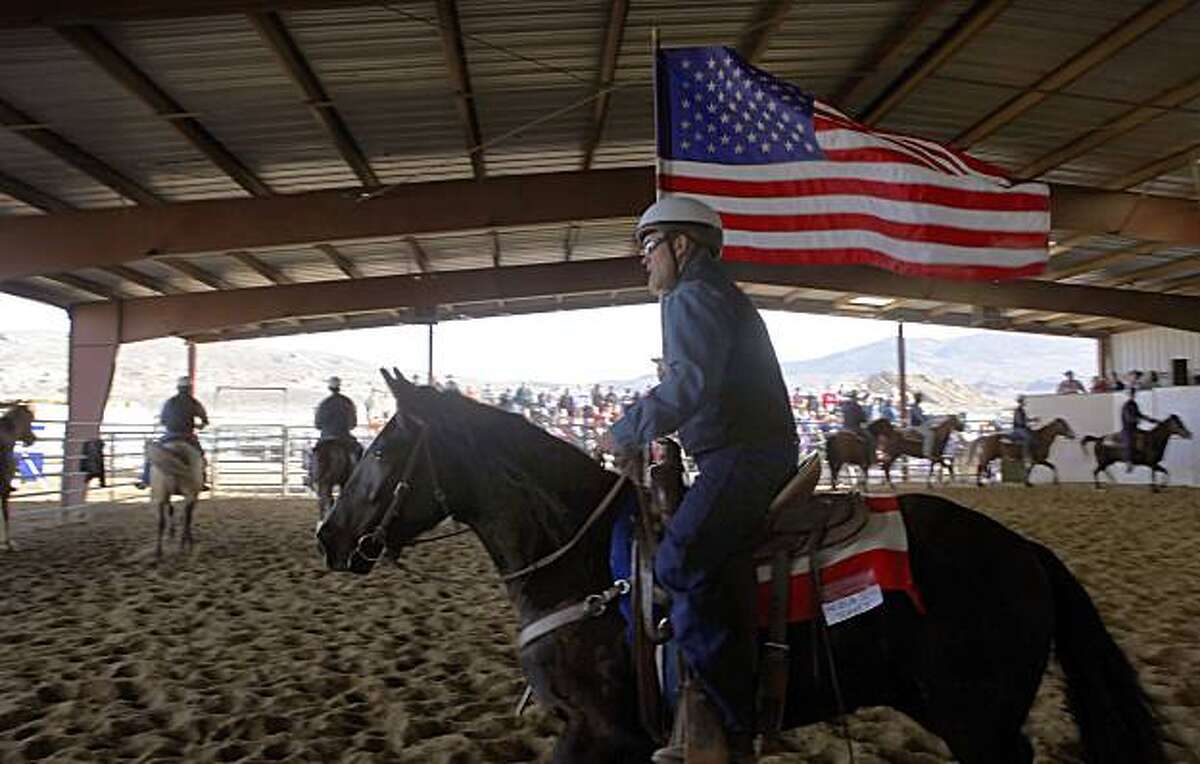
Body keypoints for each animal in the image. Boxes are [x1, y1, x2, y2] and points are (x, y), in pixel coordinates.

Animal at [316, 371, 1164, 764]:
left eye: (384, 450)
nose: (329, 537)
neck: (585, 561)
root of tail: (1025, 552)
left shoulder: (597, 733)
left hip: (978, 722)